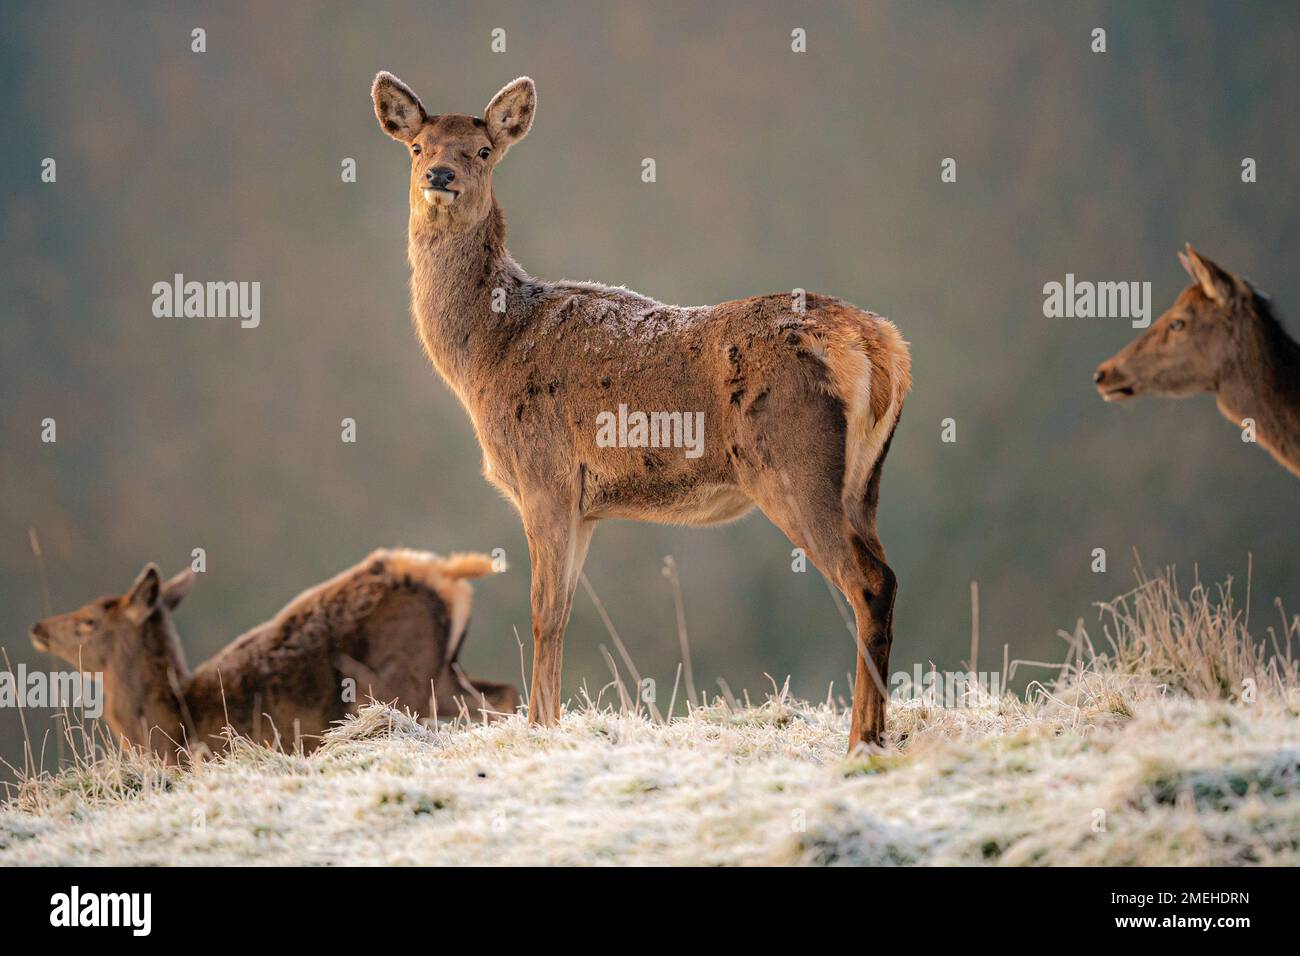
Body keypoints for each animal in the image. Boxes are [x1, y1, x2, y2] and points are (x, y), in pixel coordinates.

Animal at [29, 549, 517, 763]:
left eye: (89, 620)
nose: (38, 627)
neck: (171, 725)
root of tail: (446, 572)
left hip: (403, 678)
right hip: (446, 671)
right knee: (502, 694)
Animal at [372, 73, 911, 753]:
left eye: (483, 150)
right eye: (417, 146)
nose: (439, 175)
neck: (486, 355)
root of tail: (881, 345)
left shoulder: (544, 476)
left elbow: (542, 613)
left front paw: (539, 731)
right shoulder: (584, 505)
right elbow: (564, 610)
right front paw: (550, 725)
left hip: (792, 464)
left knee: (870, 582)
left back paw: (860, 739)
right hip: (865, 483)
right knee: (887, 573)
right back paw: (876, 733)